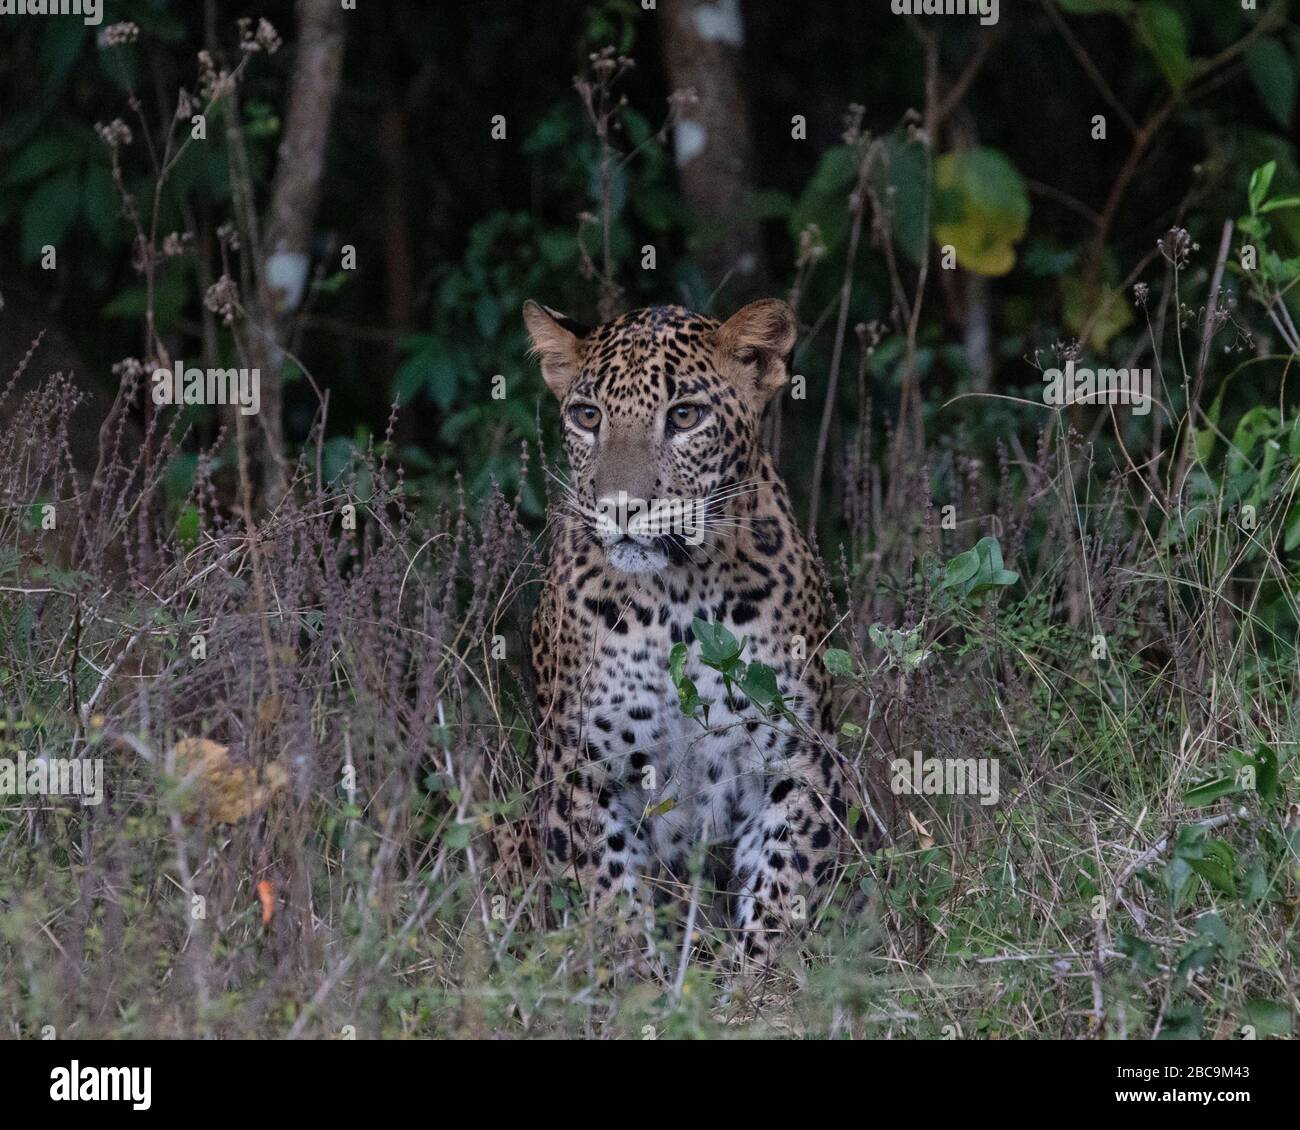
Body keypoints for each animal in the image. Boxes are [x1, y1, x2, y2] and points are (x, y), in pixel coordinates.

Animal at [524, 297, 845, 967]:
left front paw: (756, 981)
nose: (620, 507)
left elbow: (781, 893)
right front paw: (637, 981)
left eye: (685, 416)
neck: (676, 594)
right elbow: (611, 904)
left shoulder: (802, 761)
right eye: (588, 416)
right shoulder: (581, 773)